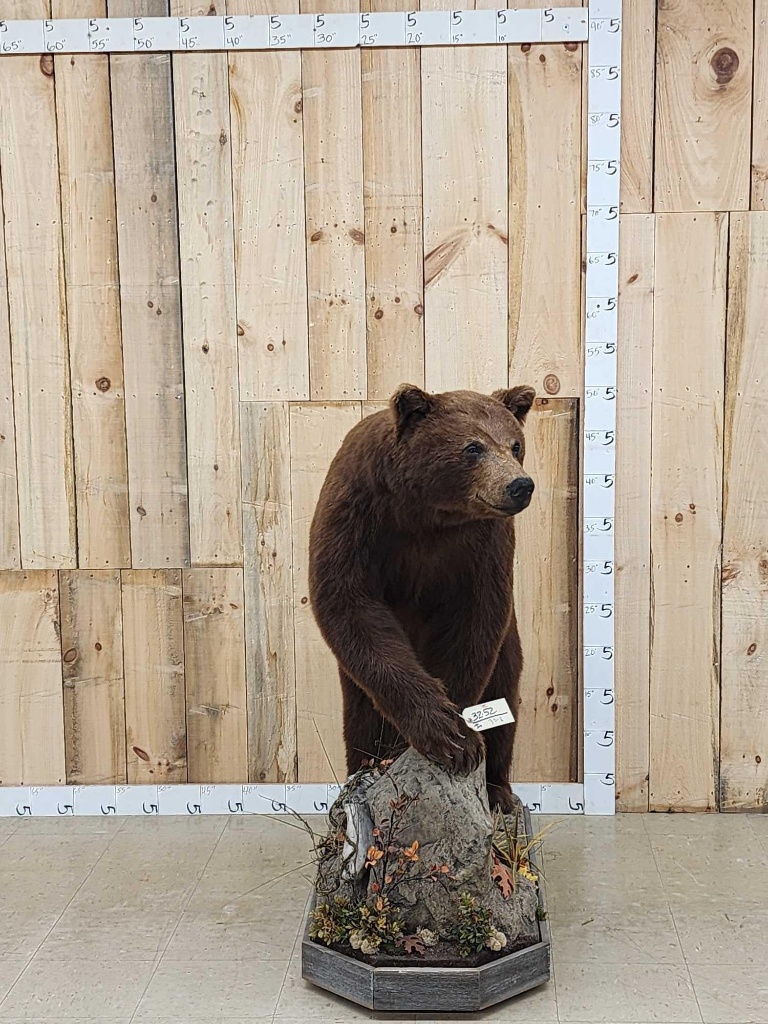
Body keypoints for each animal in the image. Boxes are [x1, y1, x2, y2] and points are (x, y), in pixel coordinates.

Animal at [308, 383, 536, 814]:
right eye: (473, 447)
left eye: (516, 445)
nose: (520, 485)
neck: (429, 513)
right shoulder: (358, 512)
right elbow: (347, 601)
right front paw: (442, 733)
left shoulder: (482, 543)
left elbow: (474, 624)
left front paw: (461, 739)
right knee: (361, 717)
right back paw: (362, 770)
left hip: (510, 645)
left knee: (504, 695)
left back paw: (499, 791)